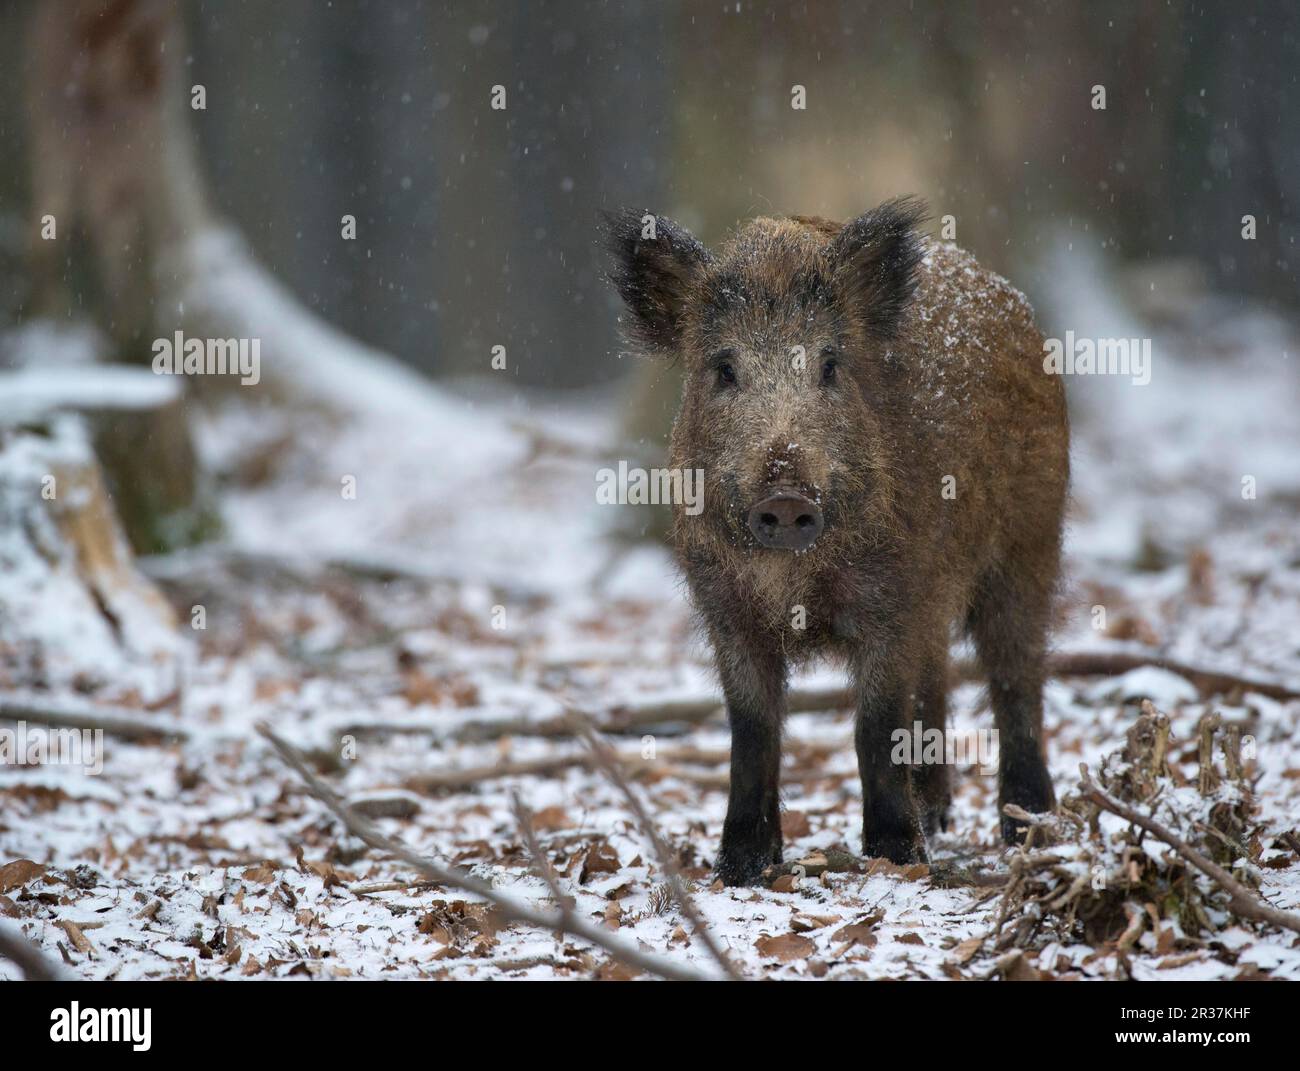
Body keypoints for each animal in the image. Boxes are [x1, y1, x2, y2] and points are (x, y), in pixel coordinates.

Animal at [603, 198, 1068, 885]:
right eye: (724, 368)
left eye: (829, 365)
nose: (786, 498)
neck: (795, 580)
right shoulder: (724, 604)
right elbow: (752, 730)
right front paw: (739, 869)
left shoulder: (892, 593)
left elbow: (874, 724)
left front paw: (896, 856)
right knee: (939, 668)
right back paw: (939, 815)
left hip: (1030, 539)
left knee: (1016, 671)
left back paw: (1027, 827)